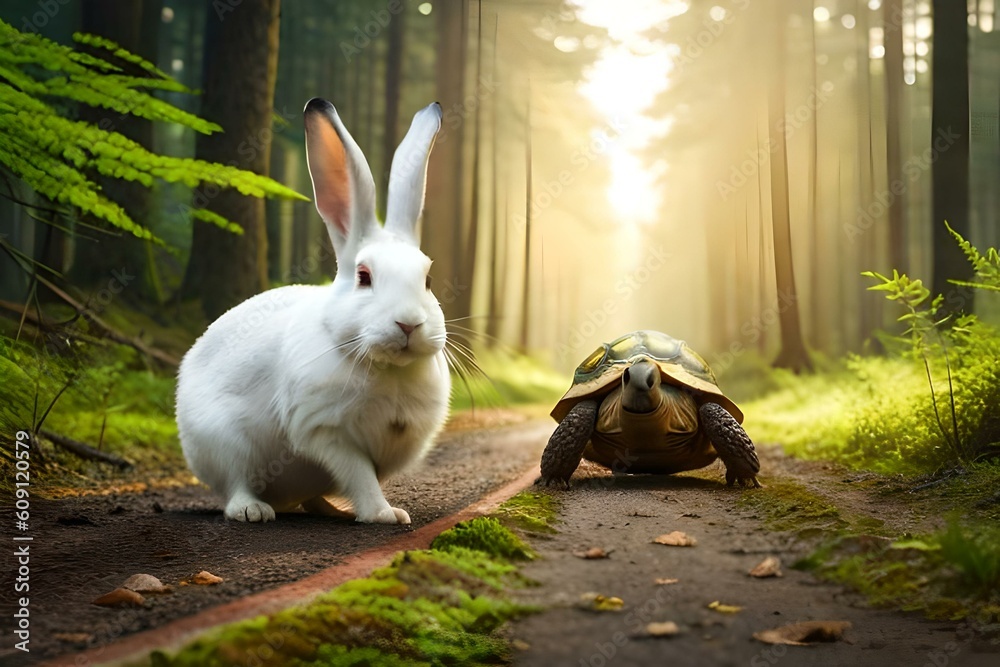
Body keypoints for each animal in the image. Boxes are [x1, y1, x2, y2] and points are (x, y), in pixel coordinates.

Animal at [175, 98, 450, 525]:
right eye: (364, 276)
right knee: (235, 485)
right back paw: (253, 510)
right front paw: (384, 515)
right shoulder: (325, 431)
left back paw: (330, 510)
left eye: (429, 279)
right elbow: (360, 475)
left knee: (310, 496)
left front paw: (382, 512)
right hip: (224, 444)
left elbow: (365, 476)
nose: (408, 324)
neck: (386, 367)